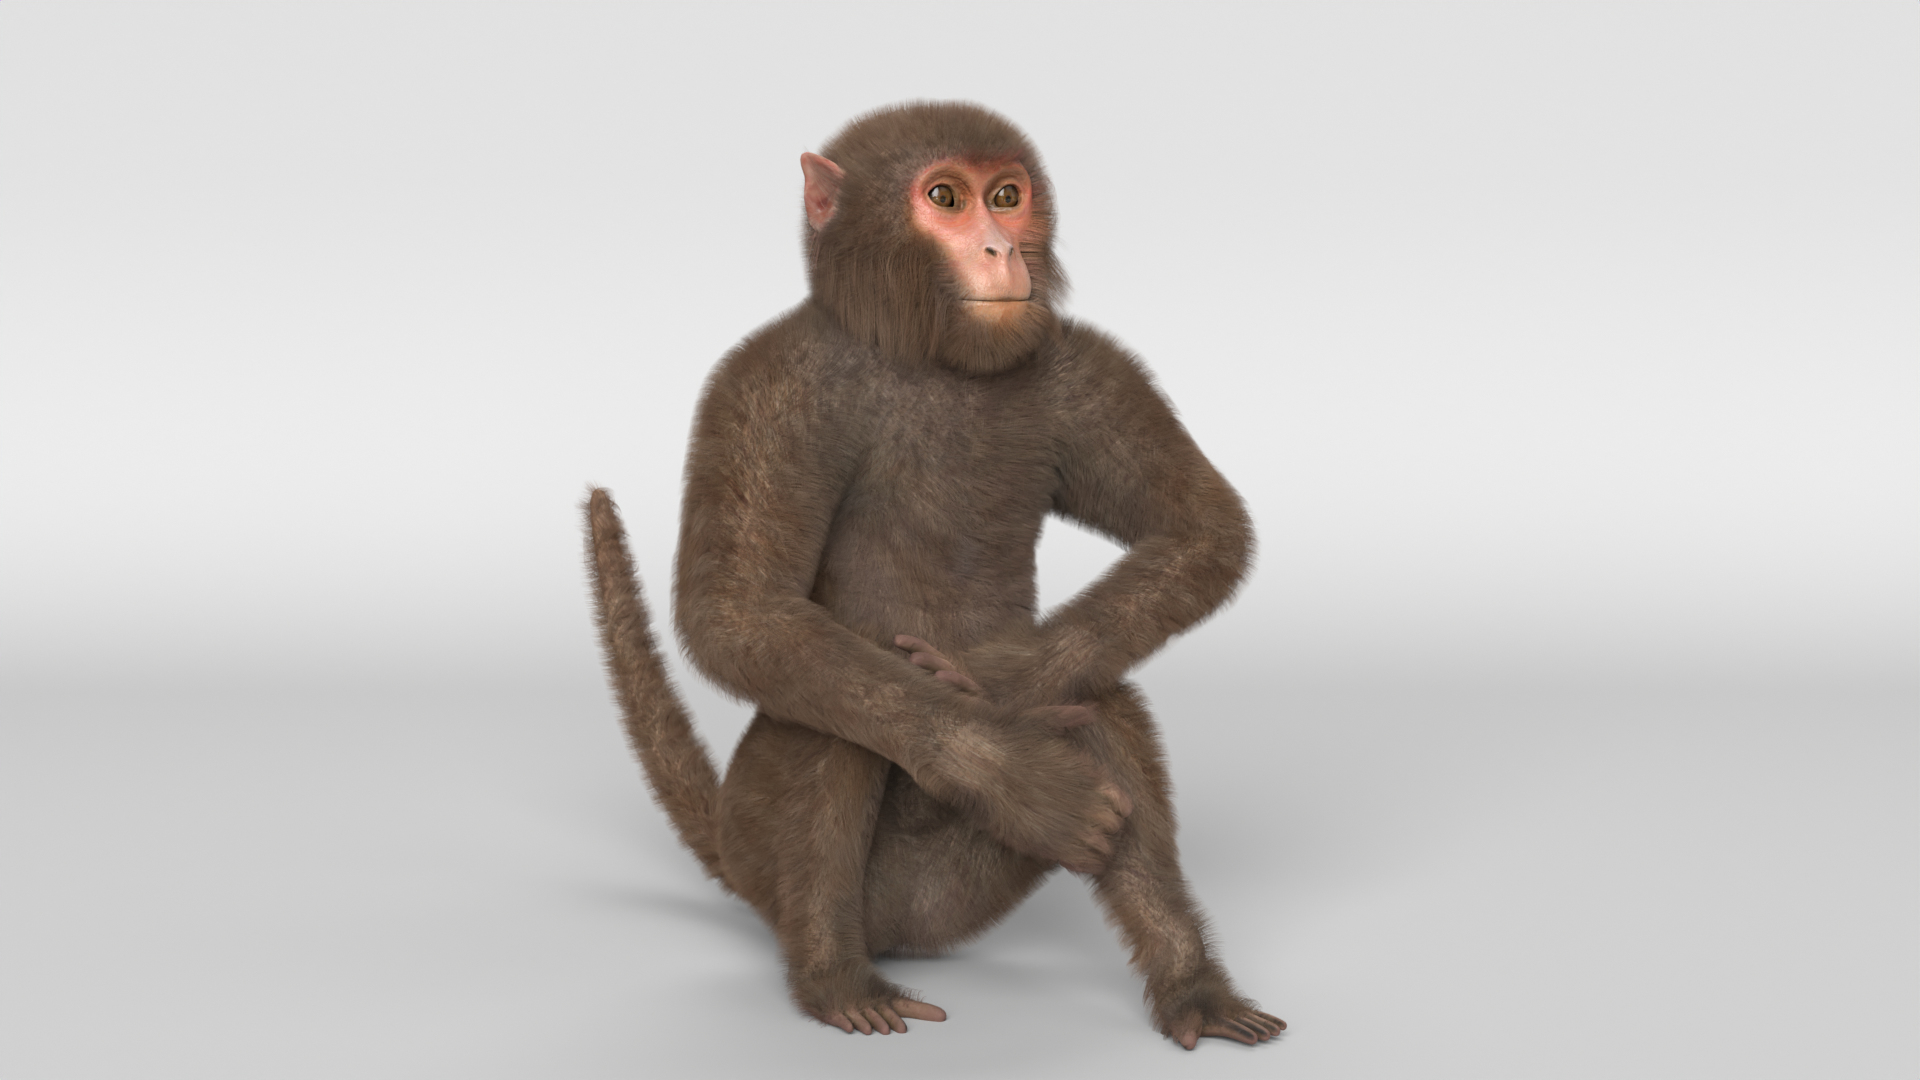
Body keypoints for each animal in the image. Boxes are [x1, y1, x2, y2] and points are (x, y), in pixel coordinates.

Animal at [584, 102, 1283, 1049]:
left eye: (1007, 196)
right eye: (945, 198)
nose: (998, 246)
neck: (920, 349)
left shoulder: (1084, 365)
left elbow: (1202, 530)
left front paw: (1000, 680)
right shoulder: (765, 384)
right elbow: (735, 611)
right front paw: (1011, 772)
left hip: (963, 894)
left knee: (1097, 695)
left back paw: (1190, 985)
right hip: (787, 862)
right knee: (833, 719)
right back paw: (838, 981)